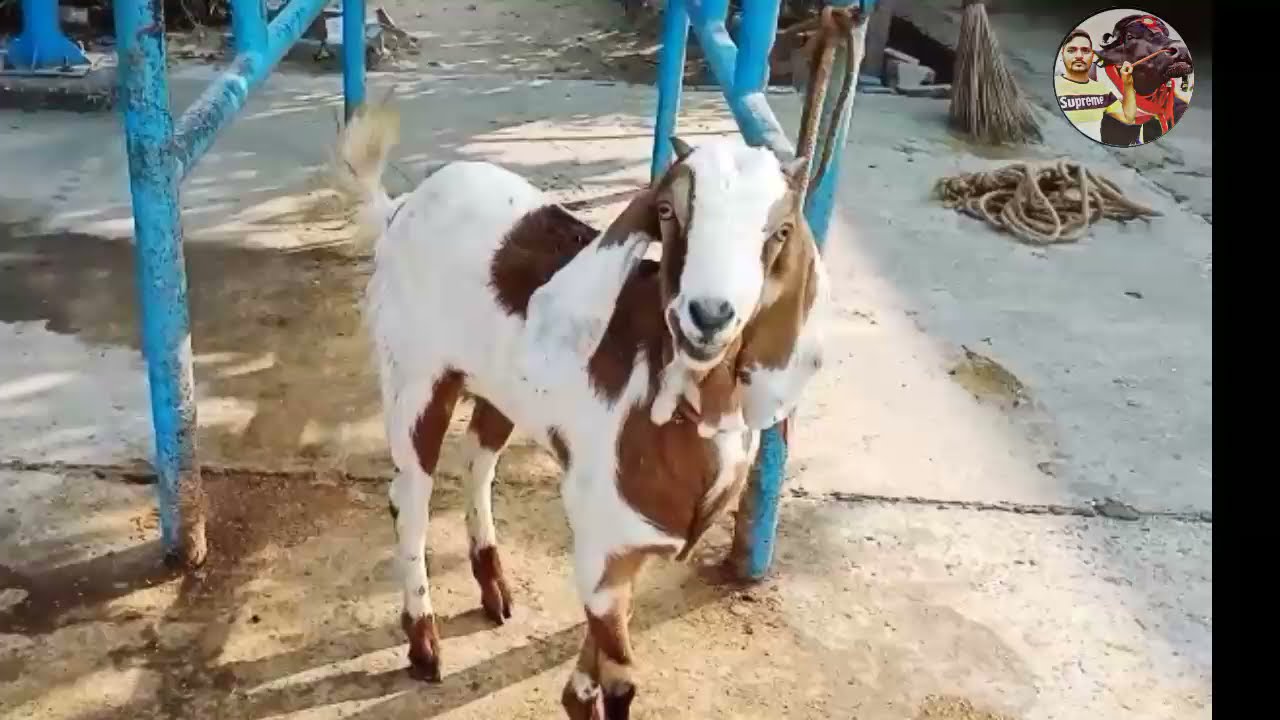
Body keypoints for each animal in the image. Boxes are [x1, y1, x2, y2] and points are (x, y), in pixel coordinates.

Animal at [330, 100, 830, 719]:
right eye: (667, 211)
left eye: (781, 231)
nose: (708, 315)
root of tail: (401, 207)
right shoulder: (601, 546)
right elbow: (620, 684)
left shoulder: (618, 559)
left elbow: (592, 673)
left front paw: (576, 692)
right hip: (414, 373)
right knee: (410, 498)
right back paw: (424, 643)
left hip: (500, 388)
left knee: (477, 461)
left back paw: (492, 585)